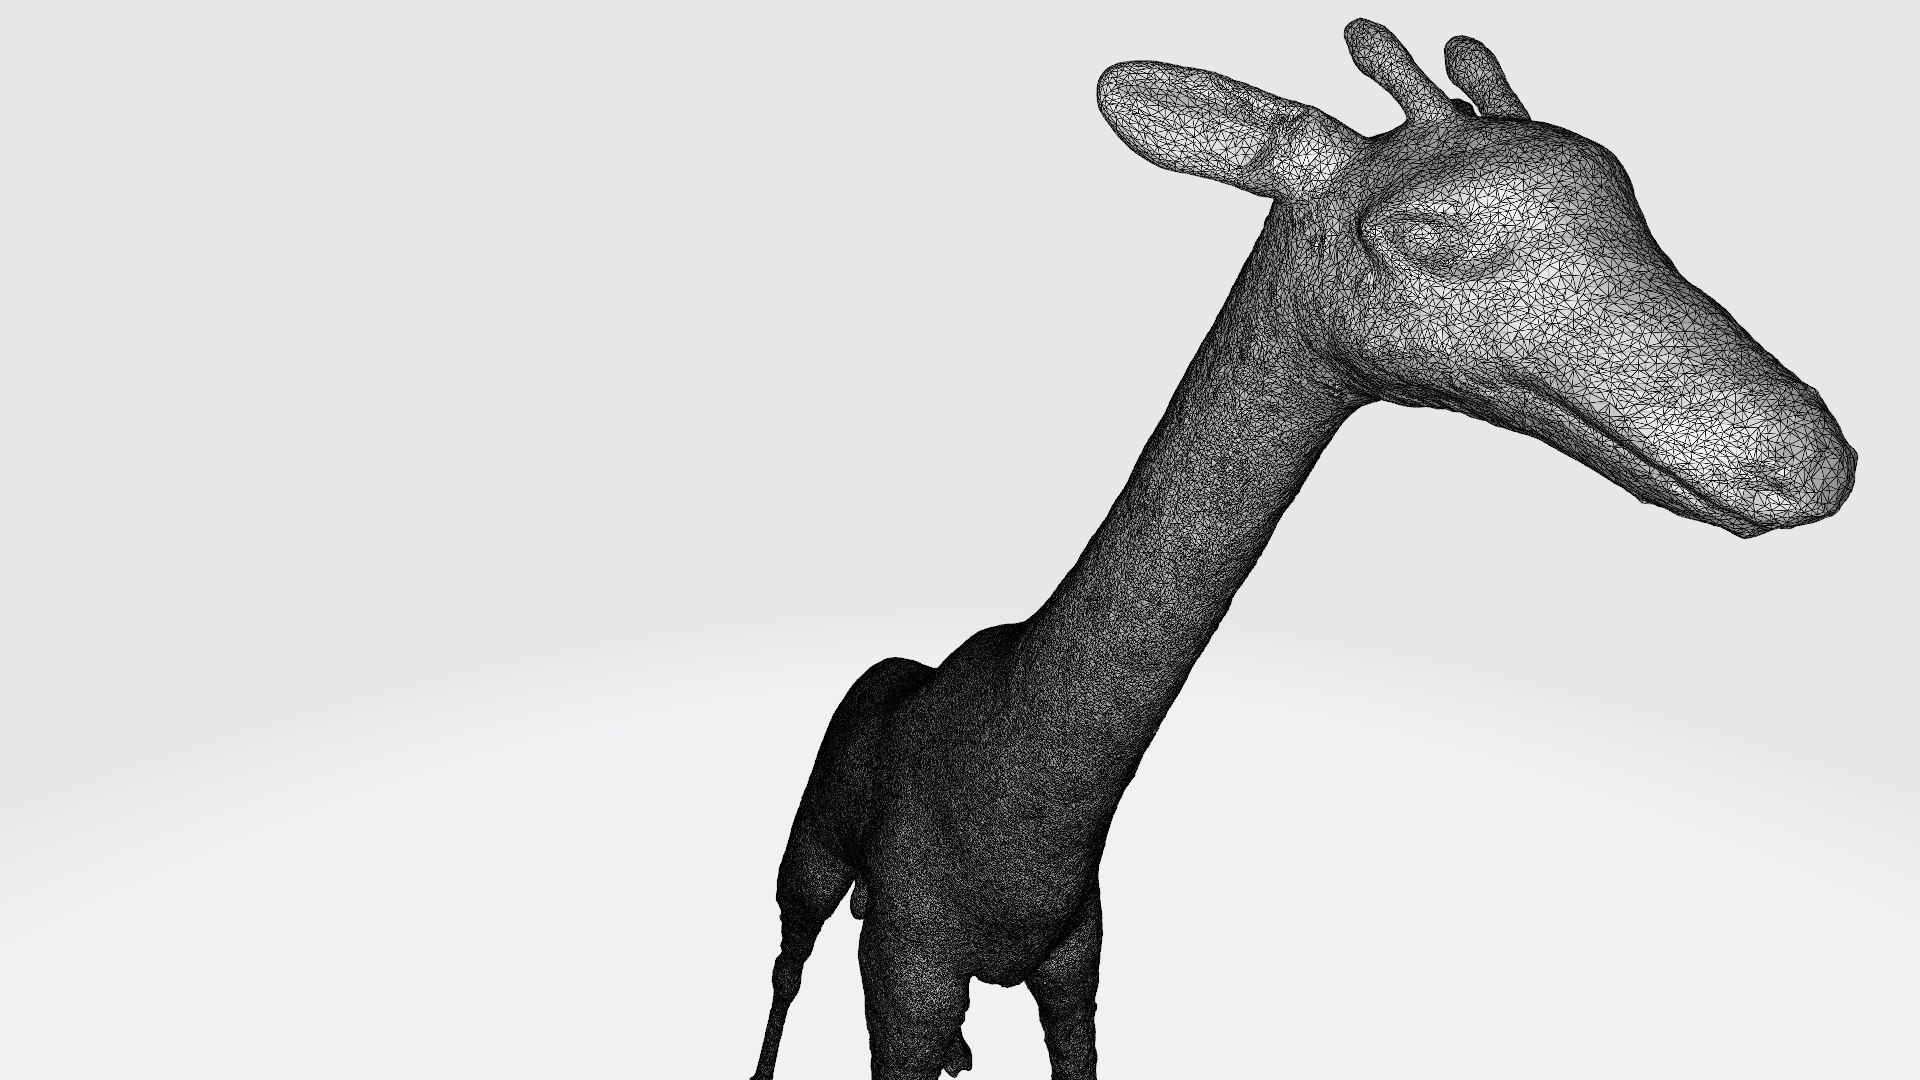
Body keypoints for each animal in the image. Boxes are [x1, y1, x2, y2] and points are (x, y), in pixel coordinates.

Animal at [748, 20, 1854, 1080]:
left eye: (1632, 206)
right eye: (1420, 231)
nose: (1809, 460)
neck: (1015, 785)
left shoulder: (1076, 969)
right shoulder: (907, 971)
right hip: (813, 867)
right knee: (786, 962)